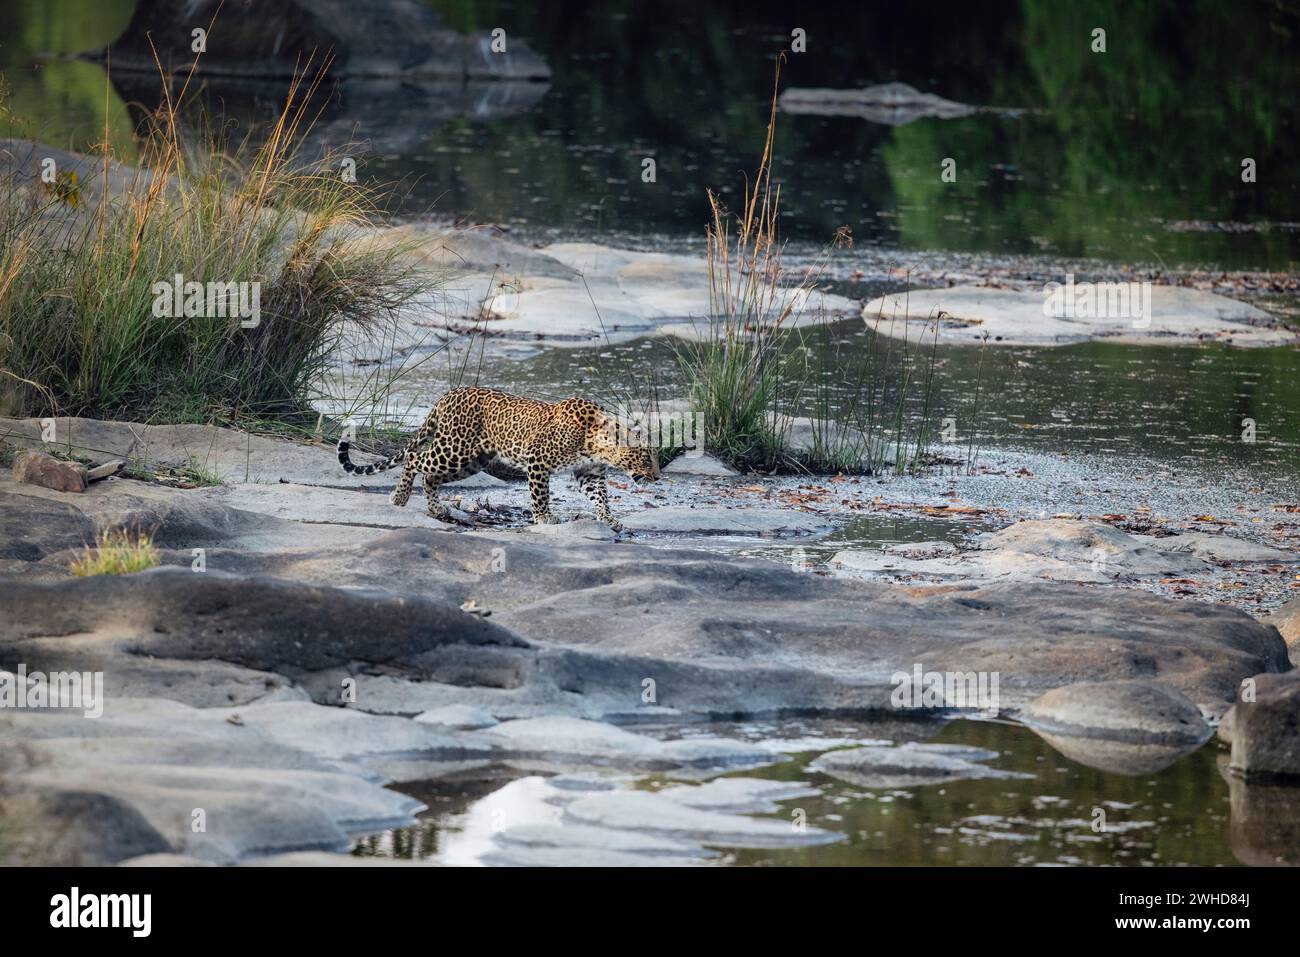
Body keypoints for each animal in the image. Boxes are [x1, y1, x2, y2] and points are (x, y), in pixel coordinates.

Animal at [337, 386, 660, 531]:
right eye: (645, 458)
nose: (657, 477)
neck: (597, 444)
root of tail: (447, 395)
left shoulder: (589, 473)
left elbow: (600, 496)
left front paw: (609, 519)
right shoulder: (538, 462)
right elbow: (540, 495)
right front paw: (544, 518)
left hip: (471, 461)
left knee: (429, 475)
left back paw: (438, 508)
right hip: (454, 449)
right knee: (416, 459)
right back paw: (400, 498)